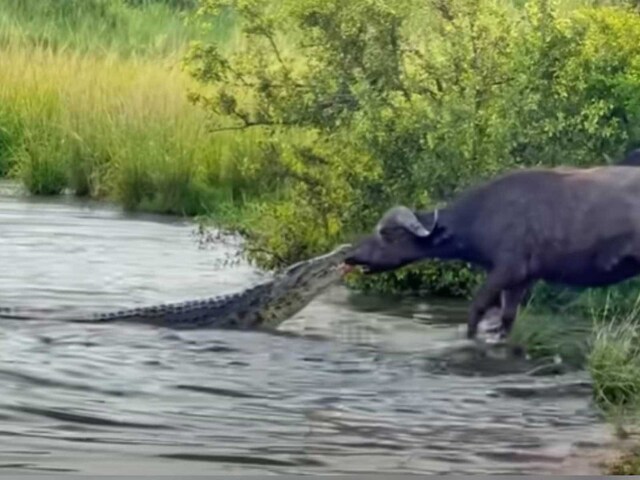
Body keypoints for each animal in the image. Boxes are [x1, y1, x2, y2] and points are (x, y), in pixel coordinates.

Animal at [343, 165, 640, 340]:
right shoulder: (522, 279)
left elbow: (477, 308)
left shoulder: (508, 270)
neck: (483, 215)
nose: (351, 255)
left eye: (388, 234)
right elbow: (507, 319)